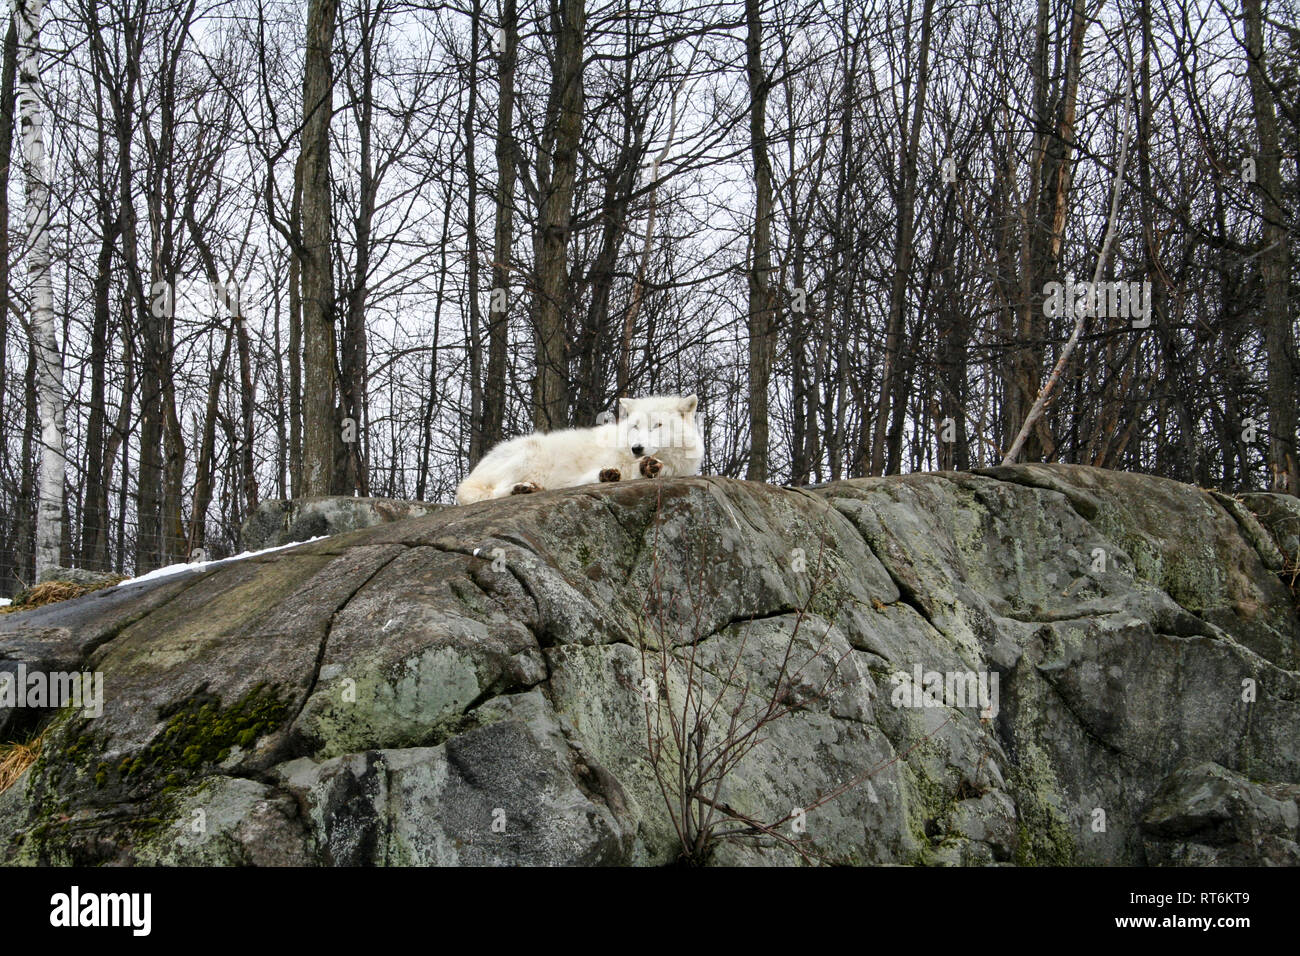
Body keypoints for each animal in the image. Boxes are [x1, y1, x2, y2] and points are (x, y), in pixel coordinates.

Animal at [455, 394, 702, 504]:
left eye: (657, 425)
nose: (637, 448)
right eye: (636, 426)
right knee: (490, 494)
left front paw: (646, 467)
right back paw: (522, 488)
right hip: (528, 453)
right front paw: (615, 473)